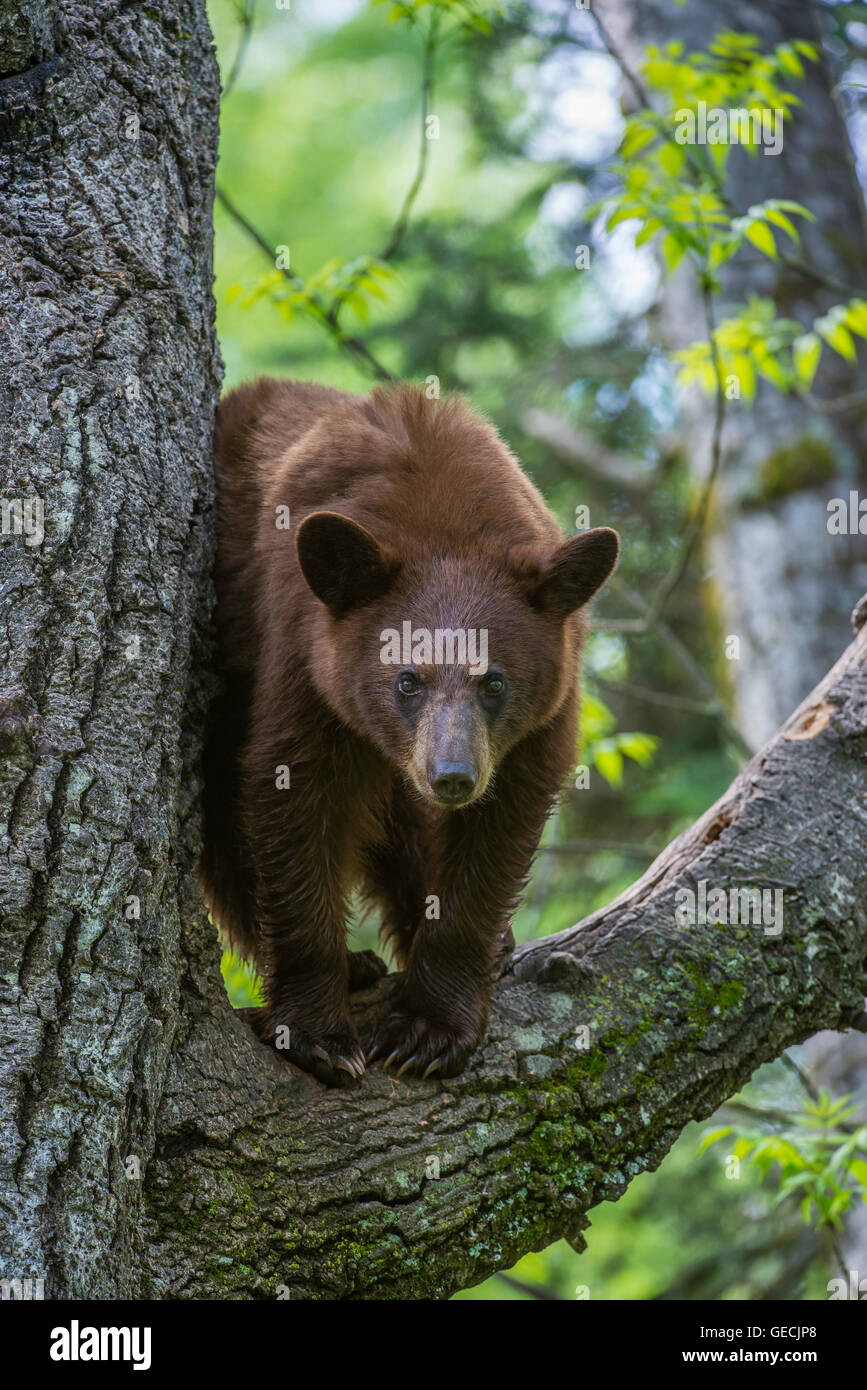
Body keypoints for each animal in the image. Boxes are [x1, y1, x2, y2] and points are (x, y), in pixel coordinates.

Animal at [199, 377, 620, 1087]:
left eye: (493, 682)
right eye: (407, 680)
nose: (452, 777)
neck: (440, 512)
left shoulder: (547, 707)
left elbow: (499, 833)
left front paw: (430, 1027)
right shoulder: (306, 663)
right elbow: (293, 800)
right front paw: (317, 1033)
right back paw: (352, 964)